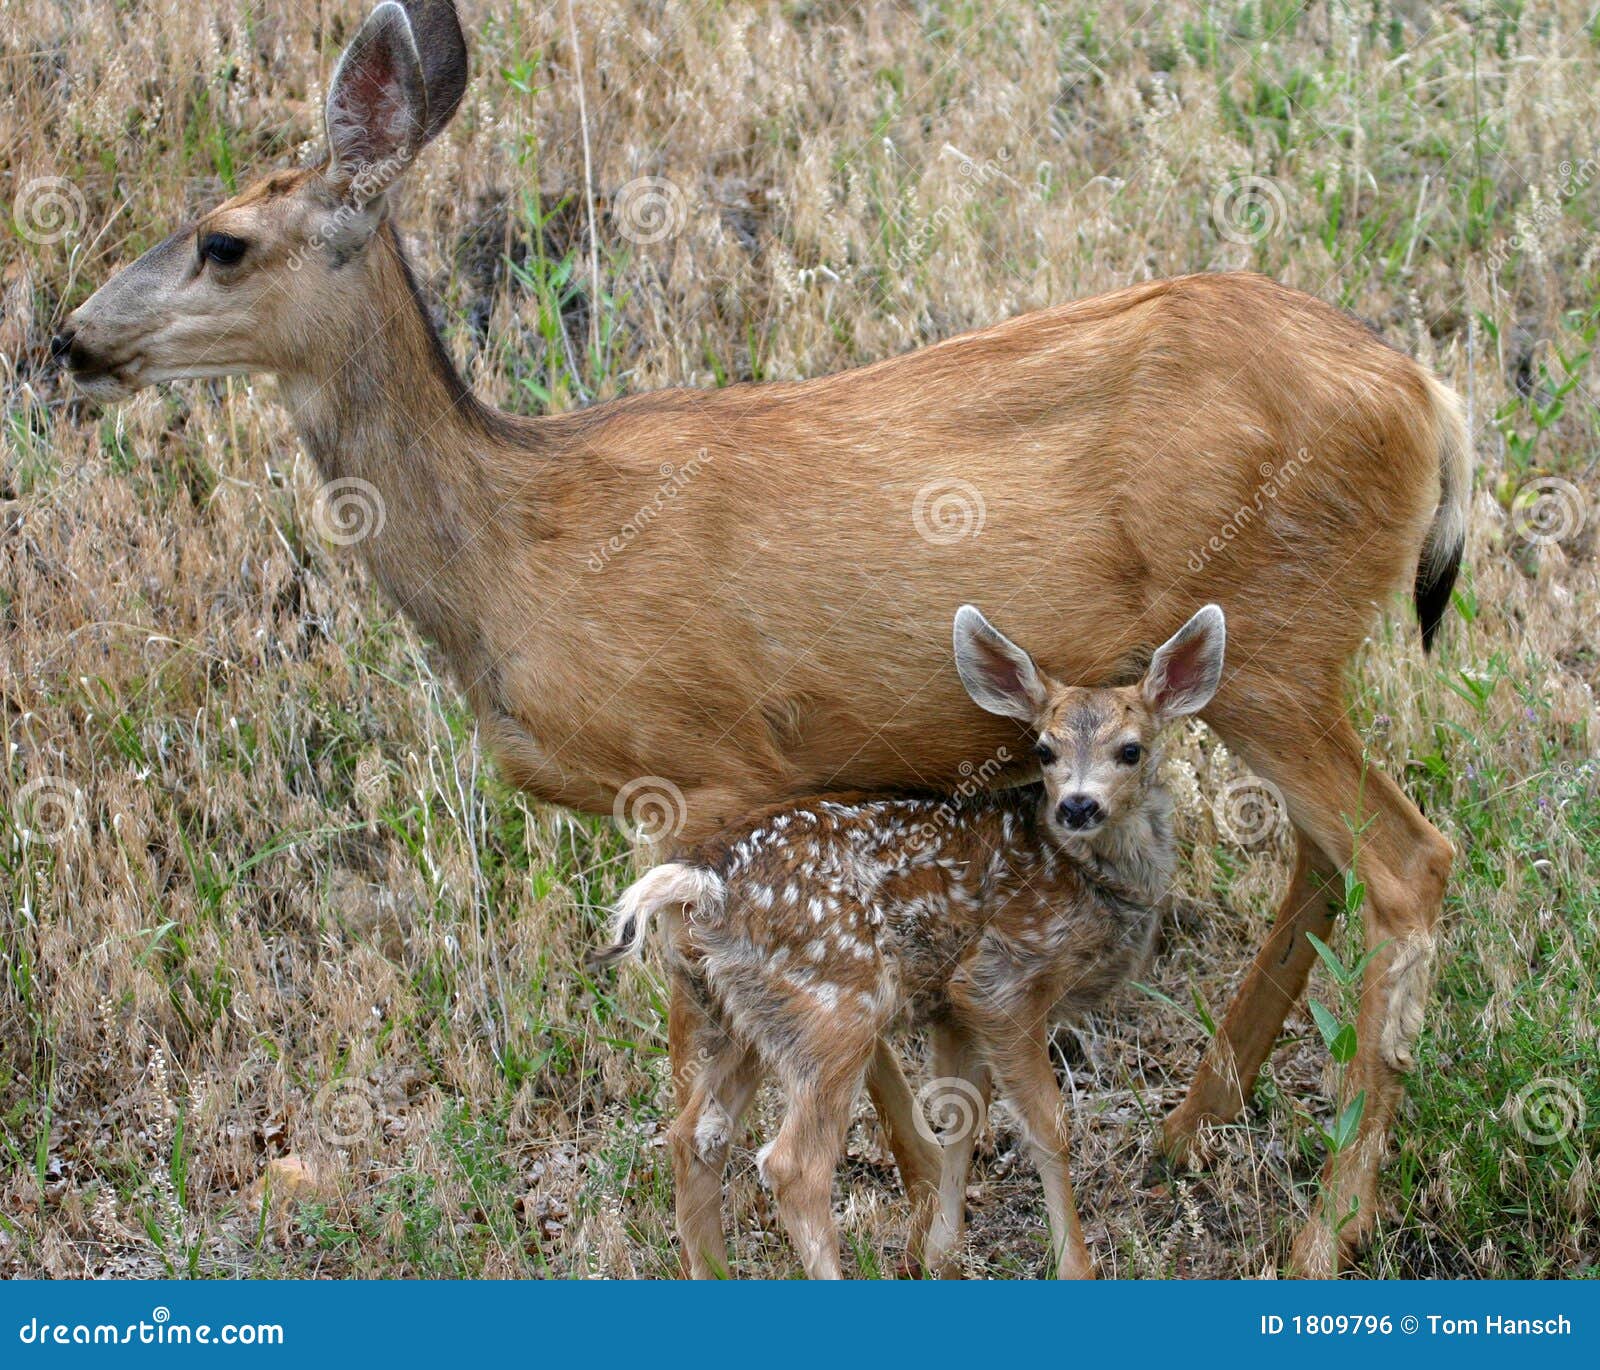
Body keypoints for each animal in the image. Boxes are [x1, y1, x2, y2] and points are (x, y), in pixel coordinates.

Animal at [595, 603, 1227, 1279]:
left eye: (1131, 750)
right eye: (1044, 749)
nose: (1078, 806)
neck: (1084, 875)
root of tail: (699, 883)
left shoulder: (953, 1008)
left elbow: (959, 1118)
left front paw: (938, 1254)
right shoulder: (999, 980)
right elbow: (1046, 1124)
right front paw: (1074, 1266)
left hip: (739, 1015)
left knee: (694, 1136)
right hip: (833, 1007)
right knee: (792, 1166)